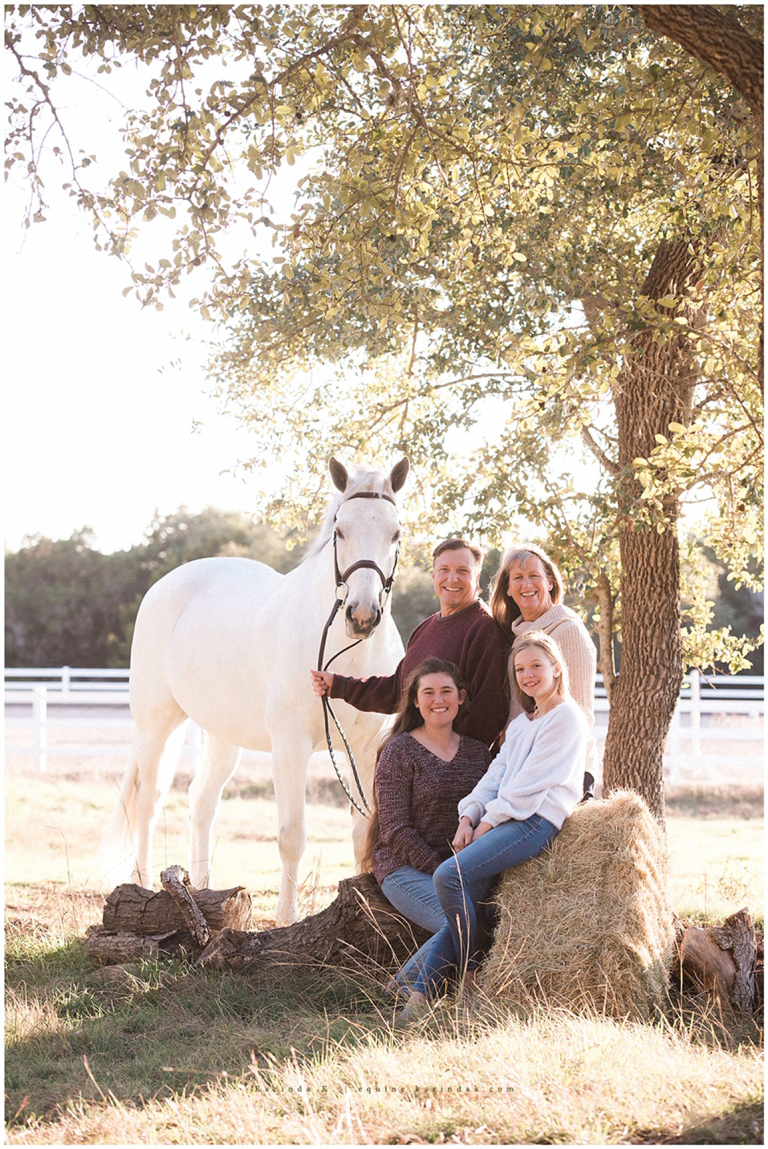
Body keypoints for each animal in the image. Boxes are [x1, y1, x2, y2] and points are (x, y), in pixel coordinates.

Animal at [98, 456, 409, 926]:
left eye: (396, 533)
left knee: (201, 801)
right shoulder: (291, 746)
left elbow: (363, 831)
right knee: (148, 802)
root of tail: (164, 584)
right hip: (157, 726)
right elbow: (292, 836)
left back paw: (202, 890)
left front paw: (368, 905)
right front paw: (286, 917)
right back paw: (144, 885)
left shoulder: (369, 749)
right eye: (340, 530)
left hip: (222, 736)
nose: (362, 614)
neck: (348, 652)